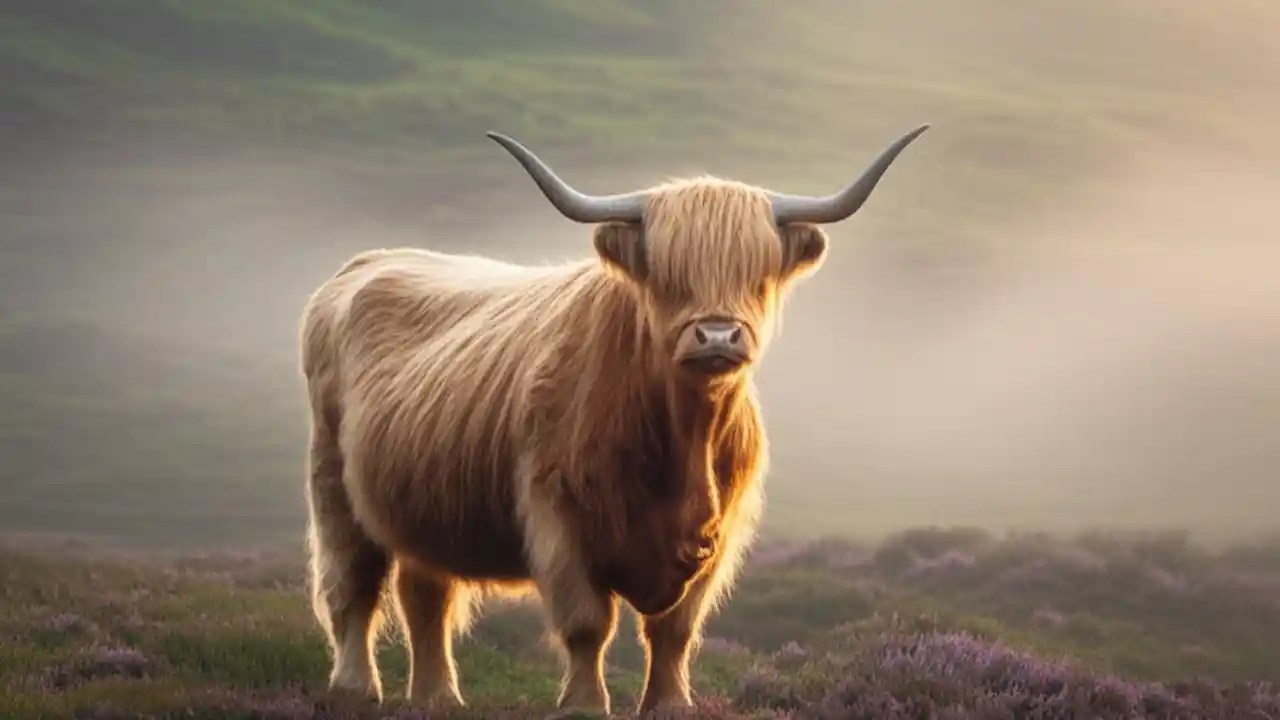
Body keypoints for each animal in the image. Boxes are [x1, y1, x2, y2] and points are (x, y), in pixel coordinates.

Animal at [299, 125, 928, 716]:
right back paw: (356, 688)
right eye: (669, 277)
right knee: (351, 585)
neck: (684, 442)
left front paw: (672, 704)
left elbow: (676, 630)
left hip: (424, 506)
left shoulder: (720, 530)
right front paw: (582, 704)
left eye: (758, 276)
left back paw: (438, 698)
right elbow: (586, 623)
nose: (717, 336)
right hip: (332, 482)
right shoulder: (557, 516)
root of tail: (370, 262)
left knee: (425, 595)